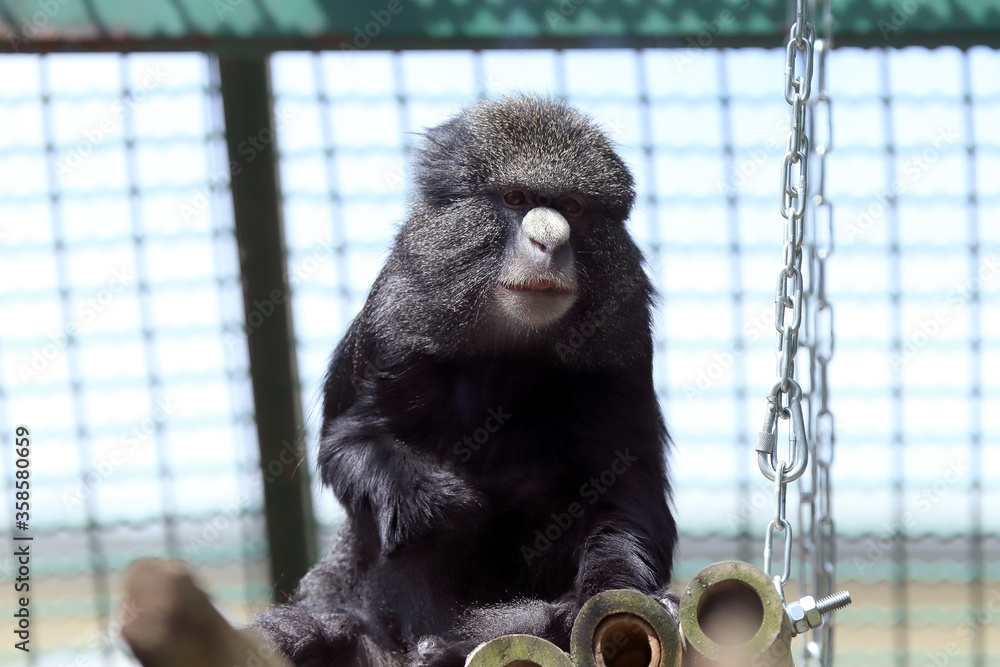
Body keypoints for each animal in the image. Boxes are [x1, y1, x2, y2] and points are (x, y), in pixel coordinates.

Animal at [252, 95, 678, 667]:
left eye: (572, 206)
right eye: (515, 199)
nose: (548, 240)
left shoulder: (624, 341)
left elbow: (625, 492)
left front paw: (607, 598)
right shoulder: (397, 320)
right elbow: (350, 441)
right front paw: (435, 499)